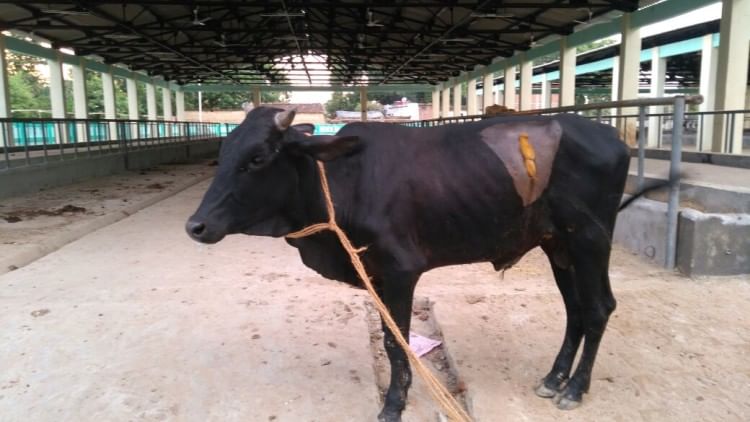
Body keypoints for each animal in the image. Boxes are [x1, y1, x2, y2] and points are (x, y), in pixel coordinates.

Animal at [186, 106, 637, 421]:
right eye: (223, 152)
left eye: (258, 157)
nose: (196, 225)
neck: (345, 179)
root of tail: (609, 134)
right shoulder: (372, 272)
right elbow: (392, 336)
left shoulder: (401, 271)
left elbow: (395, 340)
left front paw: (393, 403)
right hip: (557, 245)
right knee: (576, 310)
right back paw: (554, 378)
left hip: (590, 239)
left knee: (598, 308)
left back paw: (574, 388)